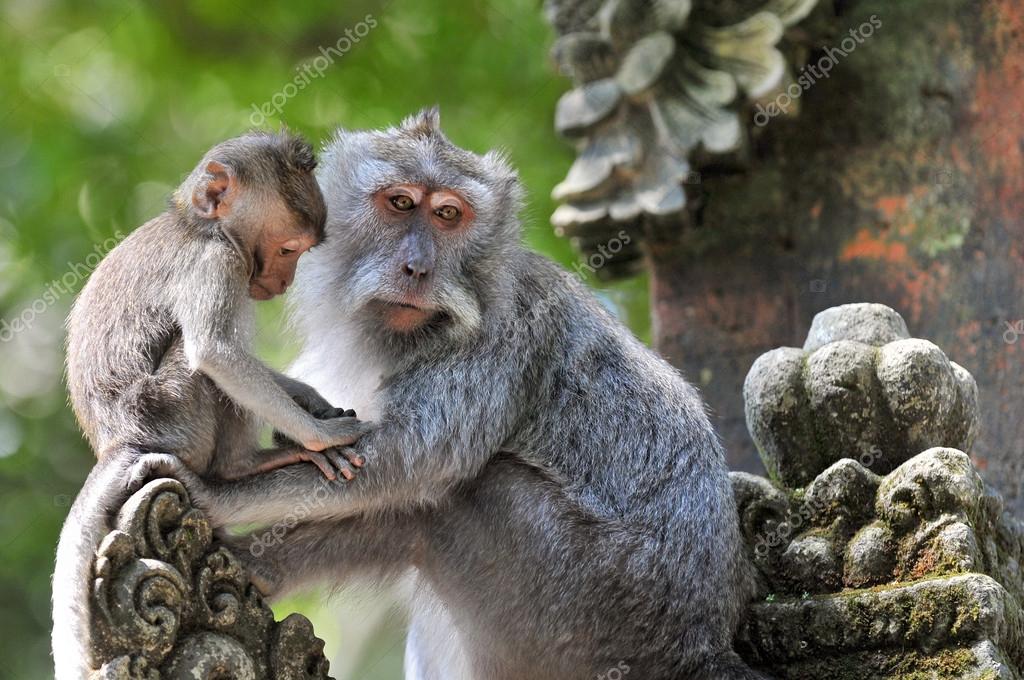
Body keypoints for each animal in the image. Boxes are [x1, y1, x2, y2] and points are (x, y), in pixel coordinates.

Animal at [52, 131, 372, 680]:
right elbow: (215, 352)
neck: (198, 224)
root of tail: (120, 443)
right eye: (288, 248)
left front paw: (309, 400)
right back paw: (246, 463)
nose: (286, 279)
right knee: (197, 358)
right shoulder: (218, 262)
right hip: (172, 415)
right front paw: (318, 435)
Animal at [131, 110, 768, 680]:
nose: (417, 268)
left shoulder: (504, 336)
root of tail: (704, 646)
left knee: (457, 496)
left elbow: (410, 459)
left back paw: (260, 565)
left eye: (447, 215)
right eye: (400, 204)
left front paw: (217, 497)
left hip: (601, 610)